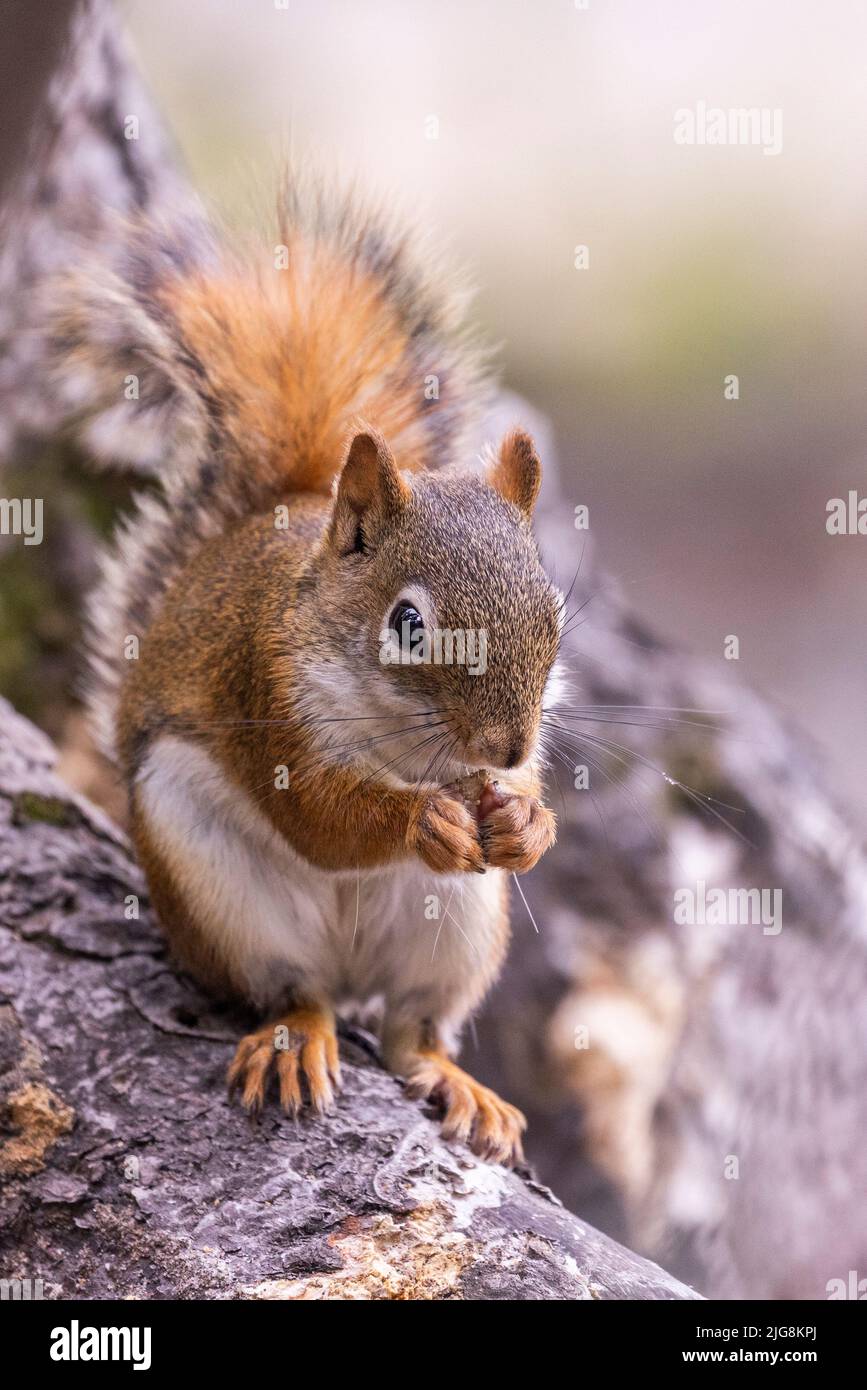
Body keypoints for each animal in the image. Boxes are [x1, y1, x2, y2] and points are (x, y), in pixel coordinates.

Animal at [56, 177, 563, 1165]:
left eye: (552, 610)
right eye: (408, 624)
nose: (504, 744)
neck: (408, 748)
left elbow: (522, 805)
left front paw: (526, 821)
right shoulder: (268, 693)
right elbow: (322, 821)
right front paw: (421, 822)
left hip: (455, 932)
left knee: (412, 1033)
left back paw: (459, 1085)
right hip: (226, 896)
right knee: (297, 992)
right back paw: (295, 1042)